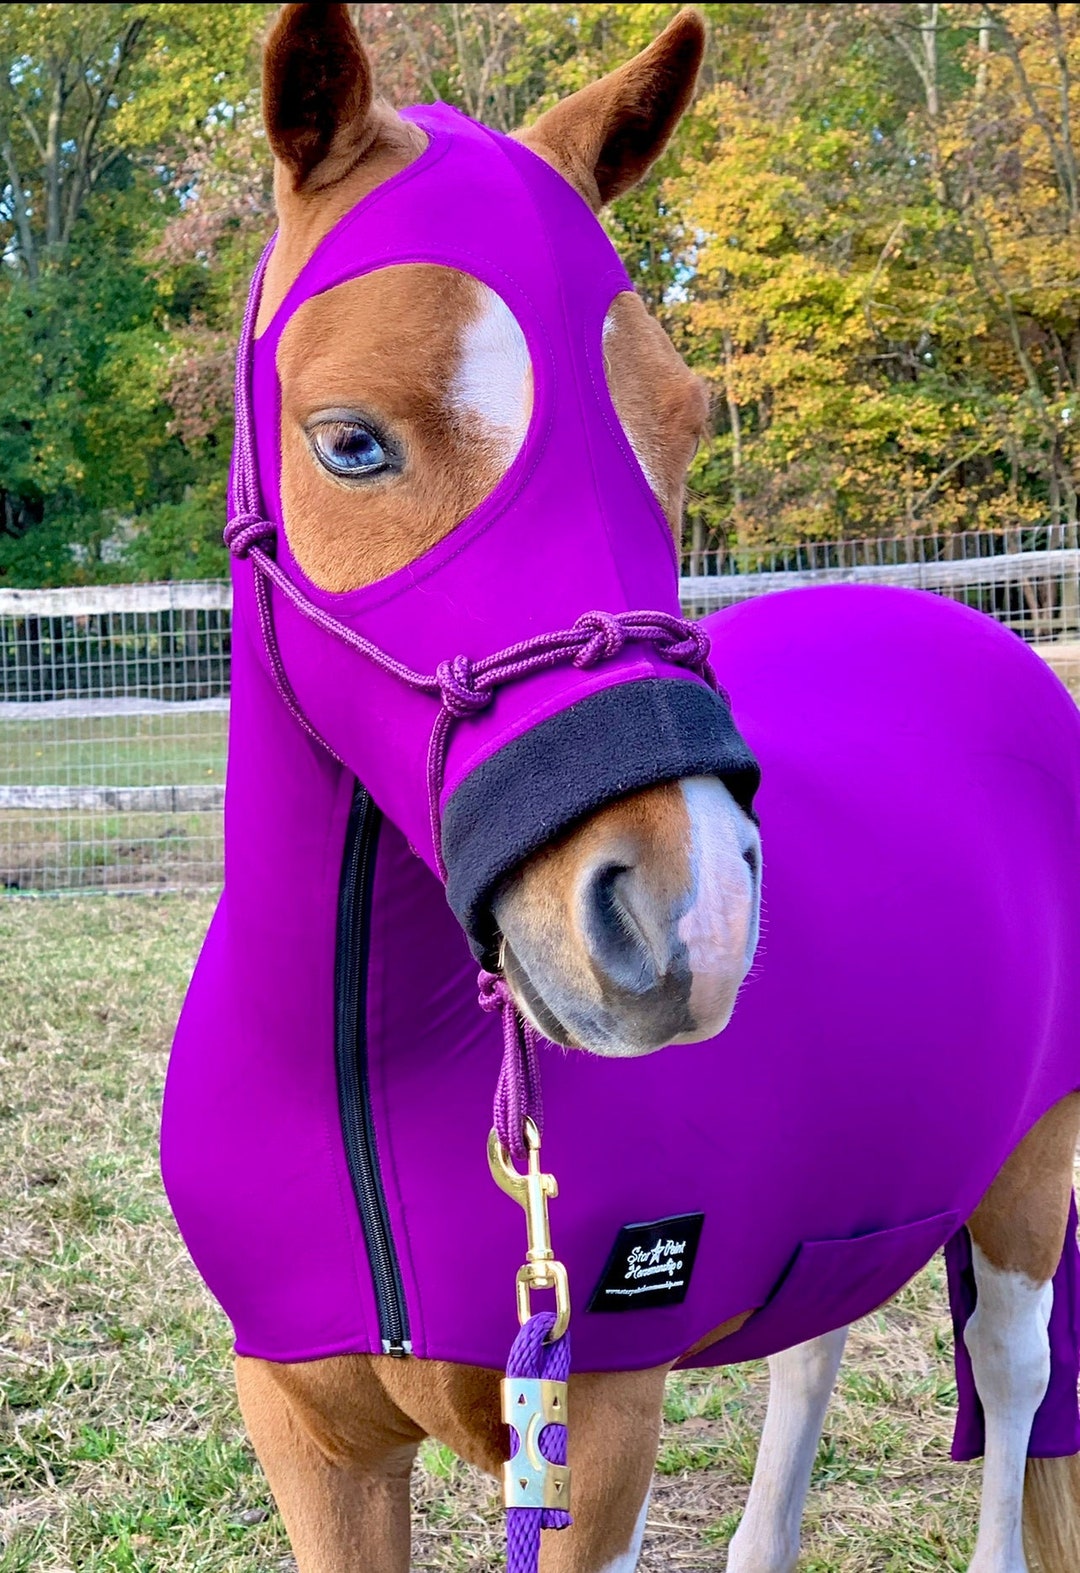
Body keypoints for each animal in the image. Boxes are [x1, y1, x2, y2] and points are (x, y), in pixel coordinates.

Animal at [161, 7, 1080, 1572]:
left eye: (684, 420)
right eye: (350, 439)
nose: (686, 918)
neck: (357, 1068)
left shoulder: (592, 1437)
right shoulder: (312, 1437)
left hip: (1031, 1163)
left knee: (1013, 1381)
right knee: (814, 1345)